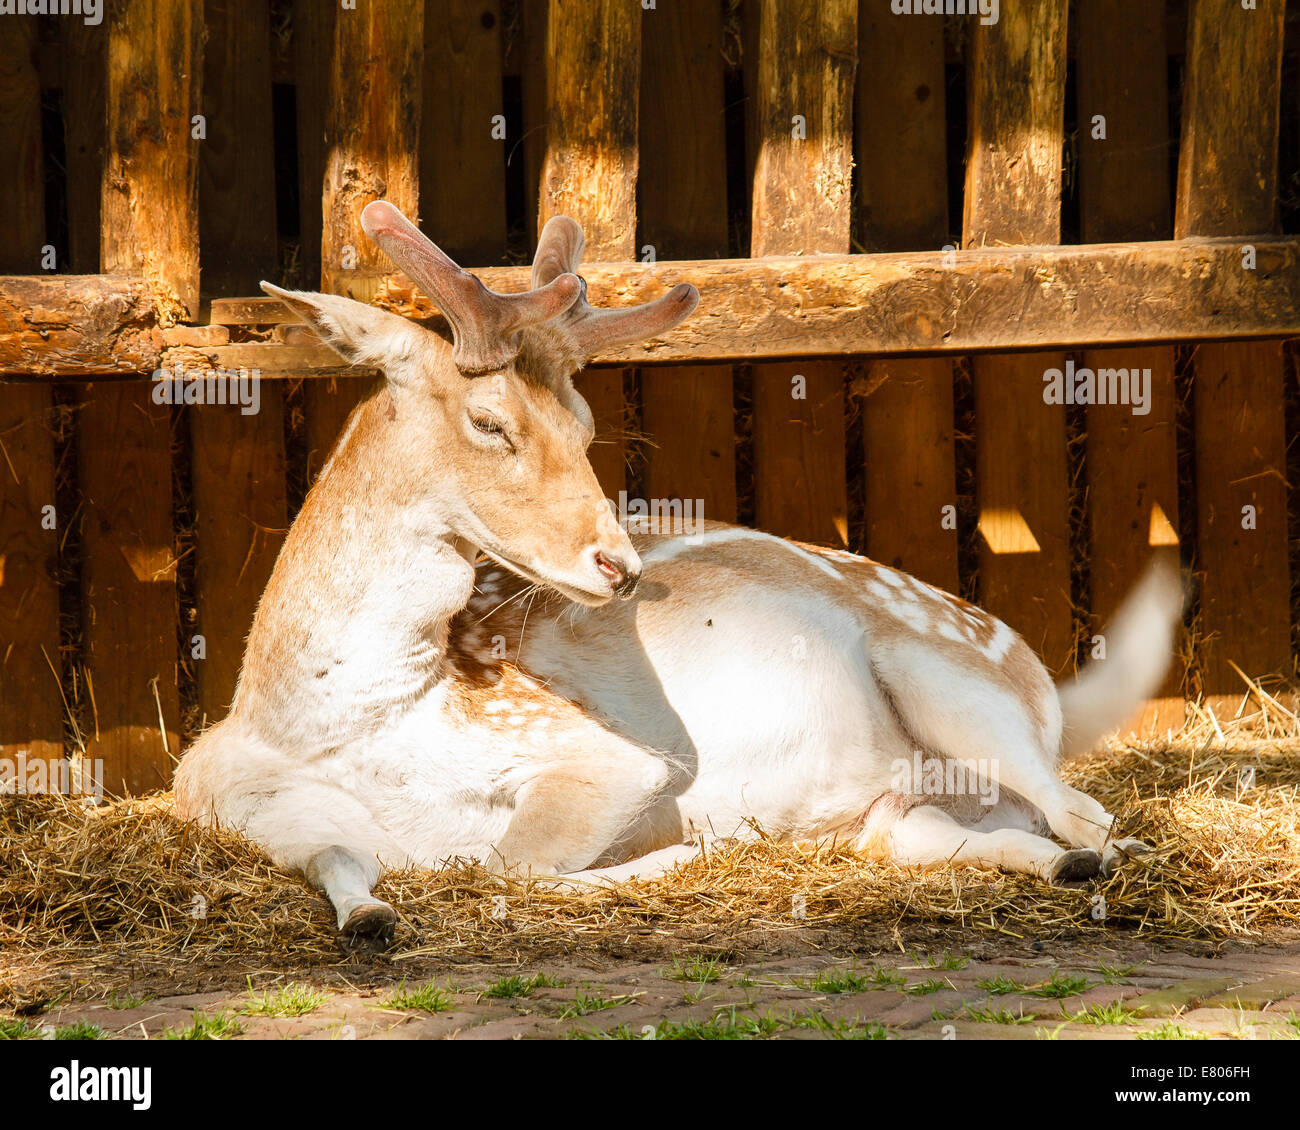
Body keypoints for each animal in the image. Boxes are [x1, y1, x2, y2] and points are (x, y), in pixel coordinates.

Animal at [173, 200, 1182, 943]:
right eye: (490, 421)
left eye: (585, 424)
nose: (617, 563)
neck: (327, 727)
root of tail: (1041, 679)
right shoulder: (230, 804)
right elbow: (342, 867)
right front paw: (372, 914)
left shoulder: (598, 755)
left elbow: (510, 866)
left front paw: (676, 856)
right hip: (914, 801)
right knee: (940, 828)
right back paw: (1054, 866)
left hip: (958, 682)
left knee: (1085, 809)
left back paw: (1108, 858)